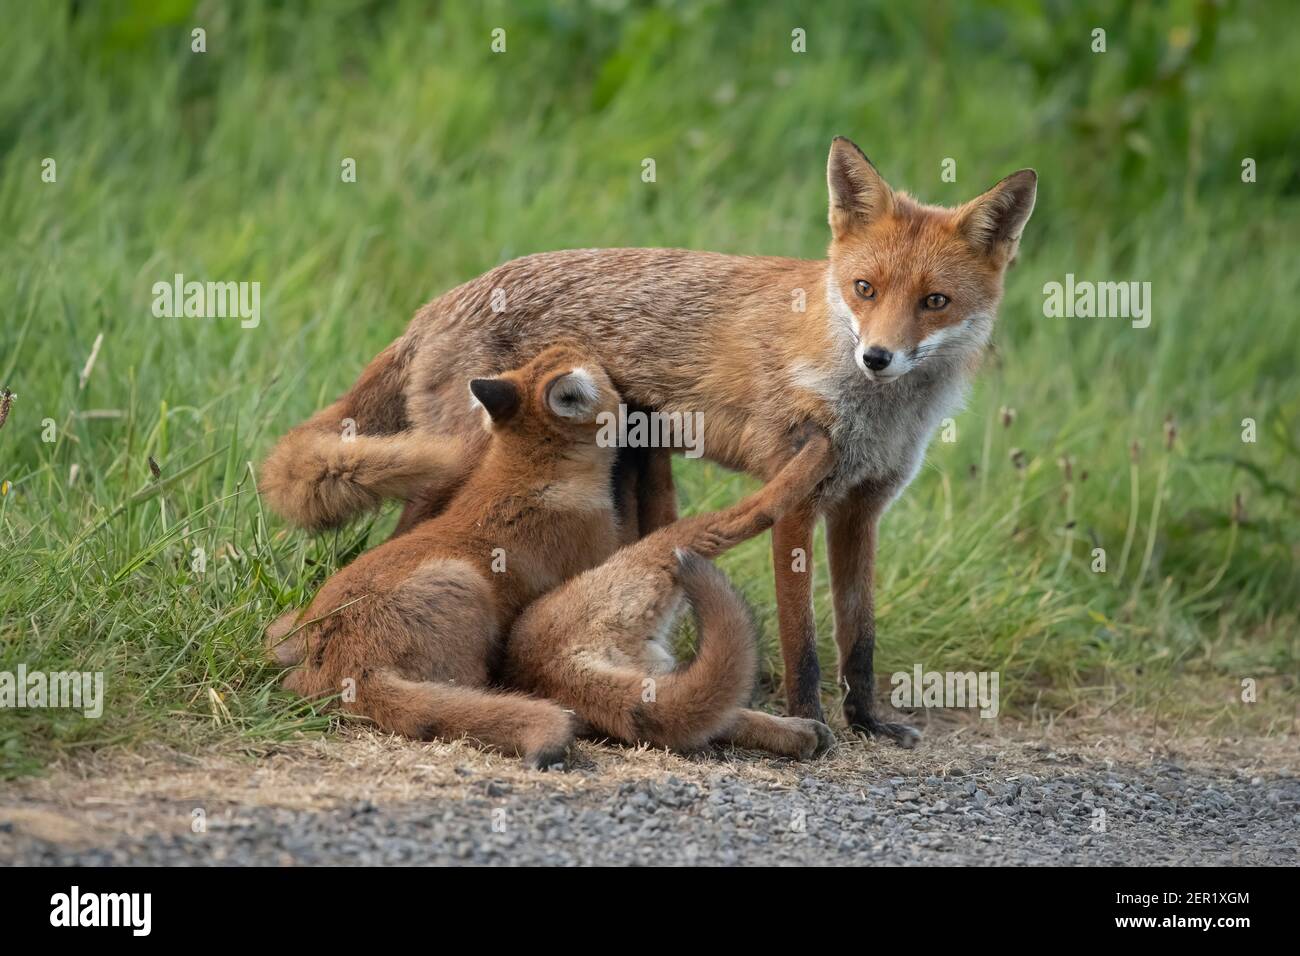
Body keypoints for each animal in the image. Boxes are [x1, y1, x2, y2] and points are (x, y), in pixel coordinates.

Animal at [267, 344, 836, 766]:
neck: (531, 472)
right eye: (608, 378)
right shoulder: (608, 546)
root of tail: (338, 671)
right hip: (466, 586)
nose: (639, 386)